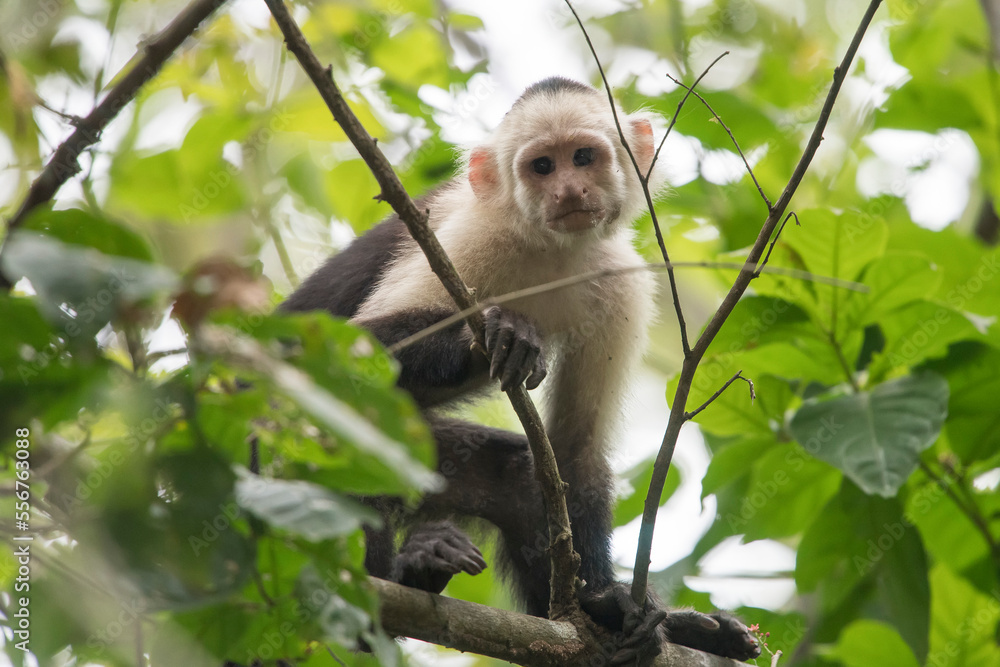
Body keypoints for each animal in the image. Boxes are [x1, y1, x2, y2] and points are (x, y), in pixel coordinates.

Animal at [281, 77, 760, 662]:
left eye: (583, 157)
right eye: (542, 167)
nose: (569, 192)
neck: (549, 253)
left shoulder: (617, 283)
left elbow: (577, 449)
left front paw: (611, 604)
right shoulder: (470, 239)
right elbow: (326, 356)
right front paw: (497, 333)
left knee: (517, 475)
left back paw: (597, 620)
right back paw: (391, 590)